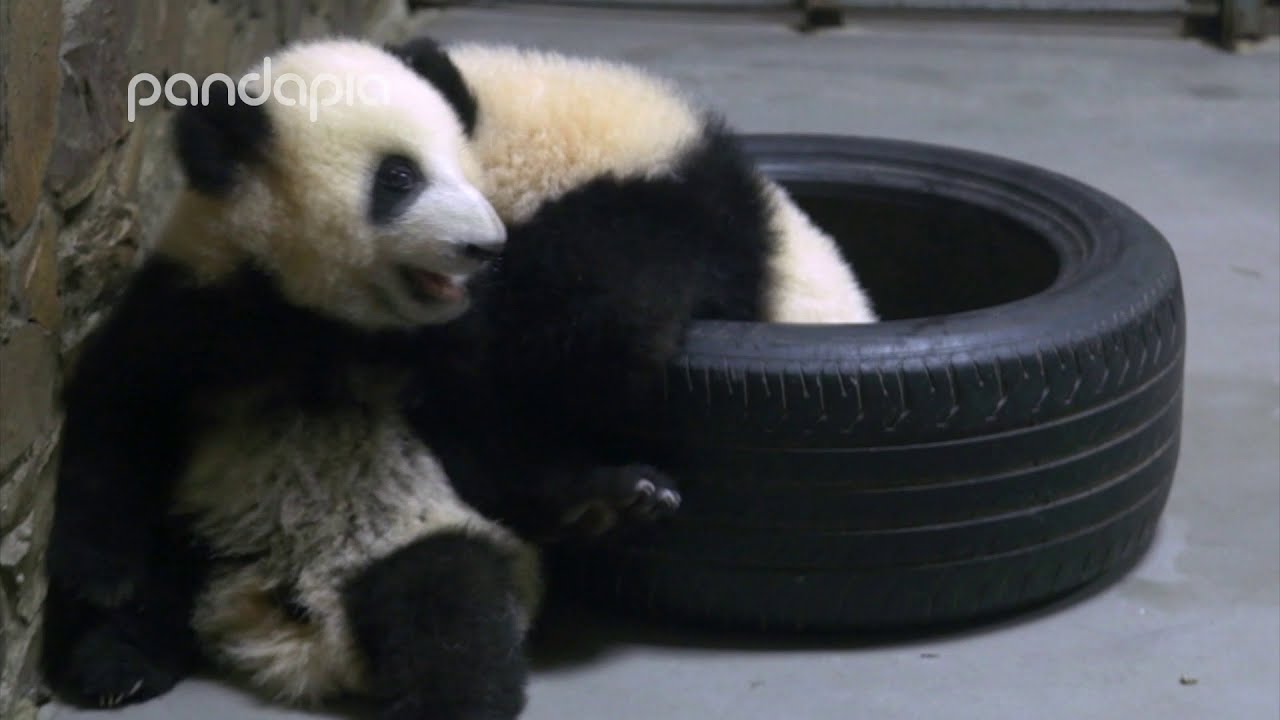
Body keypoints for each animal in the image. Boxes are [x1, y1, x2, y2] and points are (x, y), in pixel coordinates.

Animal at [40, 39, 586, 720]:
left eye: (466, 166)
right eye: (399, 178)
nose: (485, 247)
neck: (324, 317)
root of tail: (295, 641)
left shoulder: (447, 345)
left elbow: (490, 452)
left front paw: (603, 498)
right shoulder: (197, 307)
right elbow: (120, 411)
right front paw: (102, 579)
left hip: (417, 537)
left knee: (449, 602)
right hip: (198, 524)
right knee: (161, 579)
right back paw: (116, 661)